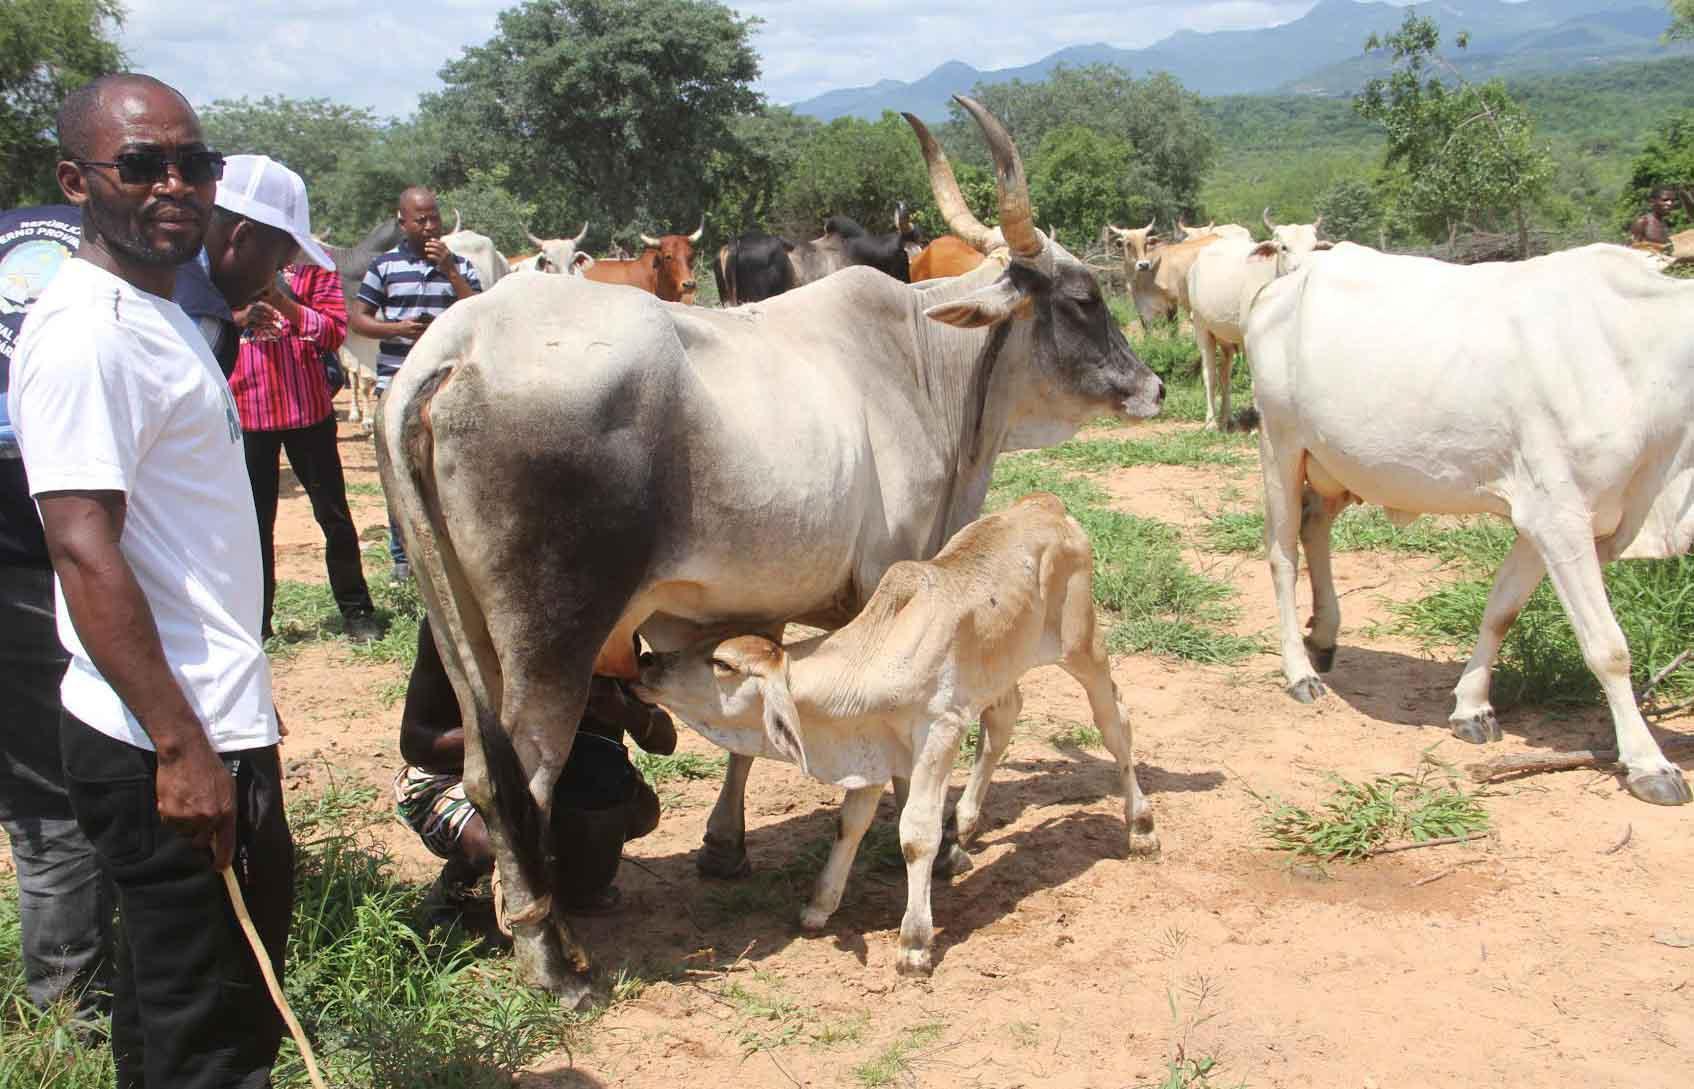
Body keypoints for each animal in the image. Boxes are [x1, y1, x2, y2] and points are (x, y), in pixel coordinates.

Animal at [632, 493, 1157, 977]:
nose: (647, 662)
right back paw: (964, 827)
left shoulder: (941, 730)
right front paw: (820, 905)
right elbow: (850, 823)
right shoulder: (874, 747)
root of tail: (1044, 504)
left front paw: (915, 942)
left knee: (1115, 723)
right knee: (1004, 719)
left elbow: (916, 833)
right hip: (1001, 667)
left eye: (722, 663)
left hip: (1083, 647)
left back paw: (1141, 827)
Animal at [1186, 209, 1330, 430]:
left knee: (1225, 373)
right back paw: (1211, 422)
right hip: (1202, 327)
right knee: (1209, 373)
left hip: (1227, 339)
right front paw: (1258, 427)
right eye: (1284, 247)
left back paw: (1227, 418)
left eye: (1313, 248)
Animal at [1244, 241, 1694, 808]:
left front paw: (1471, 707)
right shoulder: (1560, 516)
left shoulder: (1544, 521)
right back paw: (1299, 673)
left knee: (1314, 525)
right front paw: (1649, 762)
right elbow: (1608, 647)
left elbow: (1501, 610)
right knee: (1282, 551)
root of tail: (1283, 282)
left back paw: (1323, 637)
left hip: (1334, 463)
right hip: (1280, 443)